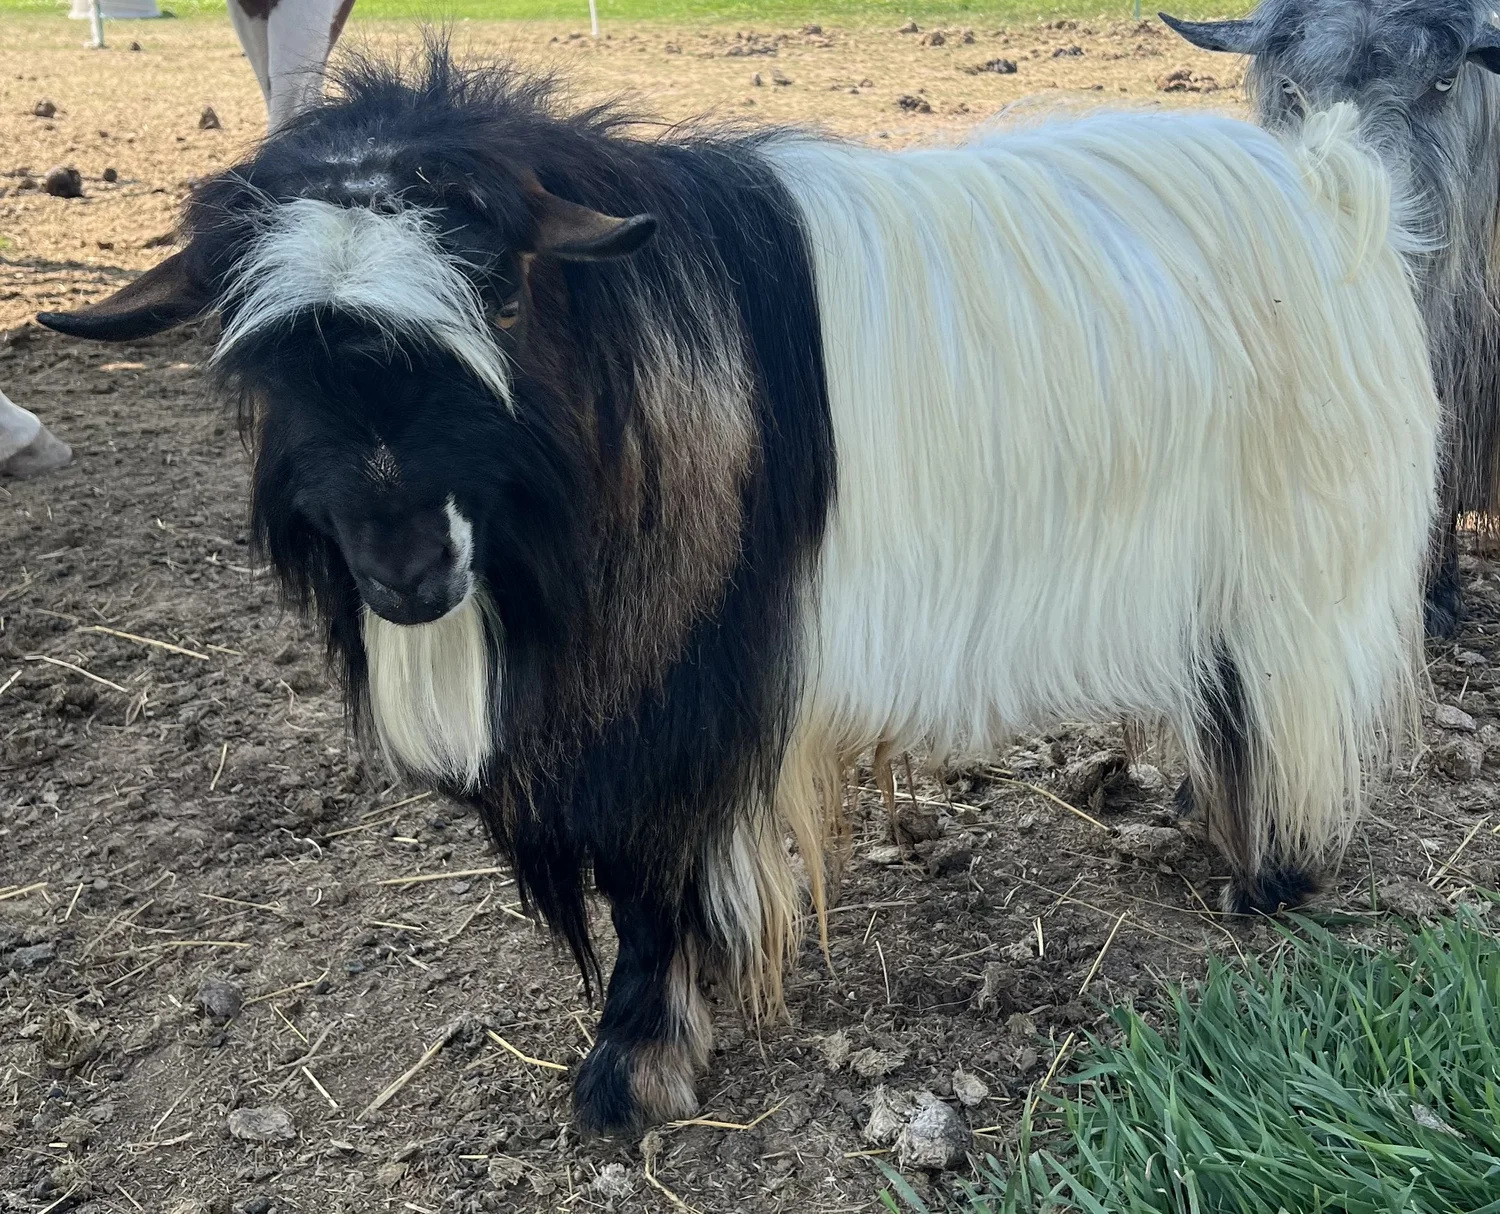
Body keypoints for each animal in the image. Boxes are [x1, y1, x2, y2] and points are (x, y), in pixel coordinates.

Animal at [36, 49, 1440, 1133]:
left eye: (499, 294)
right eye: (267, 355)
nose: (407, 569)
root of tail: (1329, 186)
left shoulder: (677, 689)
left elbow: (650, 882)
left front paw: (634, 1064)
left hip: (1291, 543)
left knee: (1285, 690)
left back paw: (1273, 870)